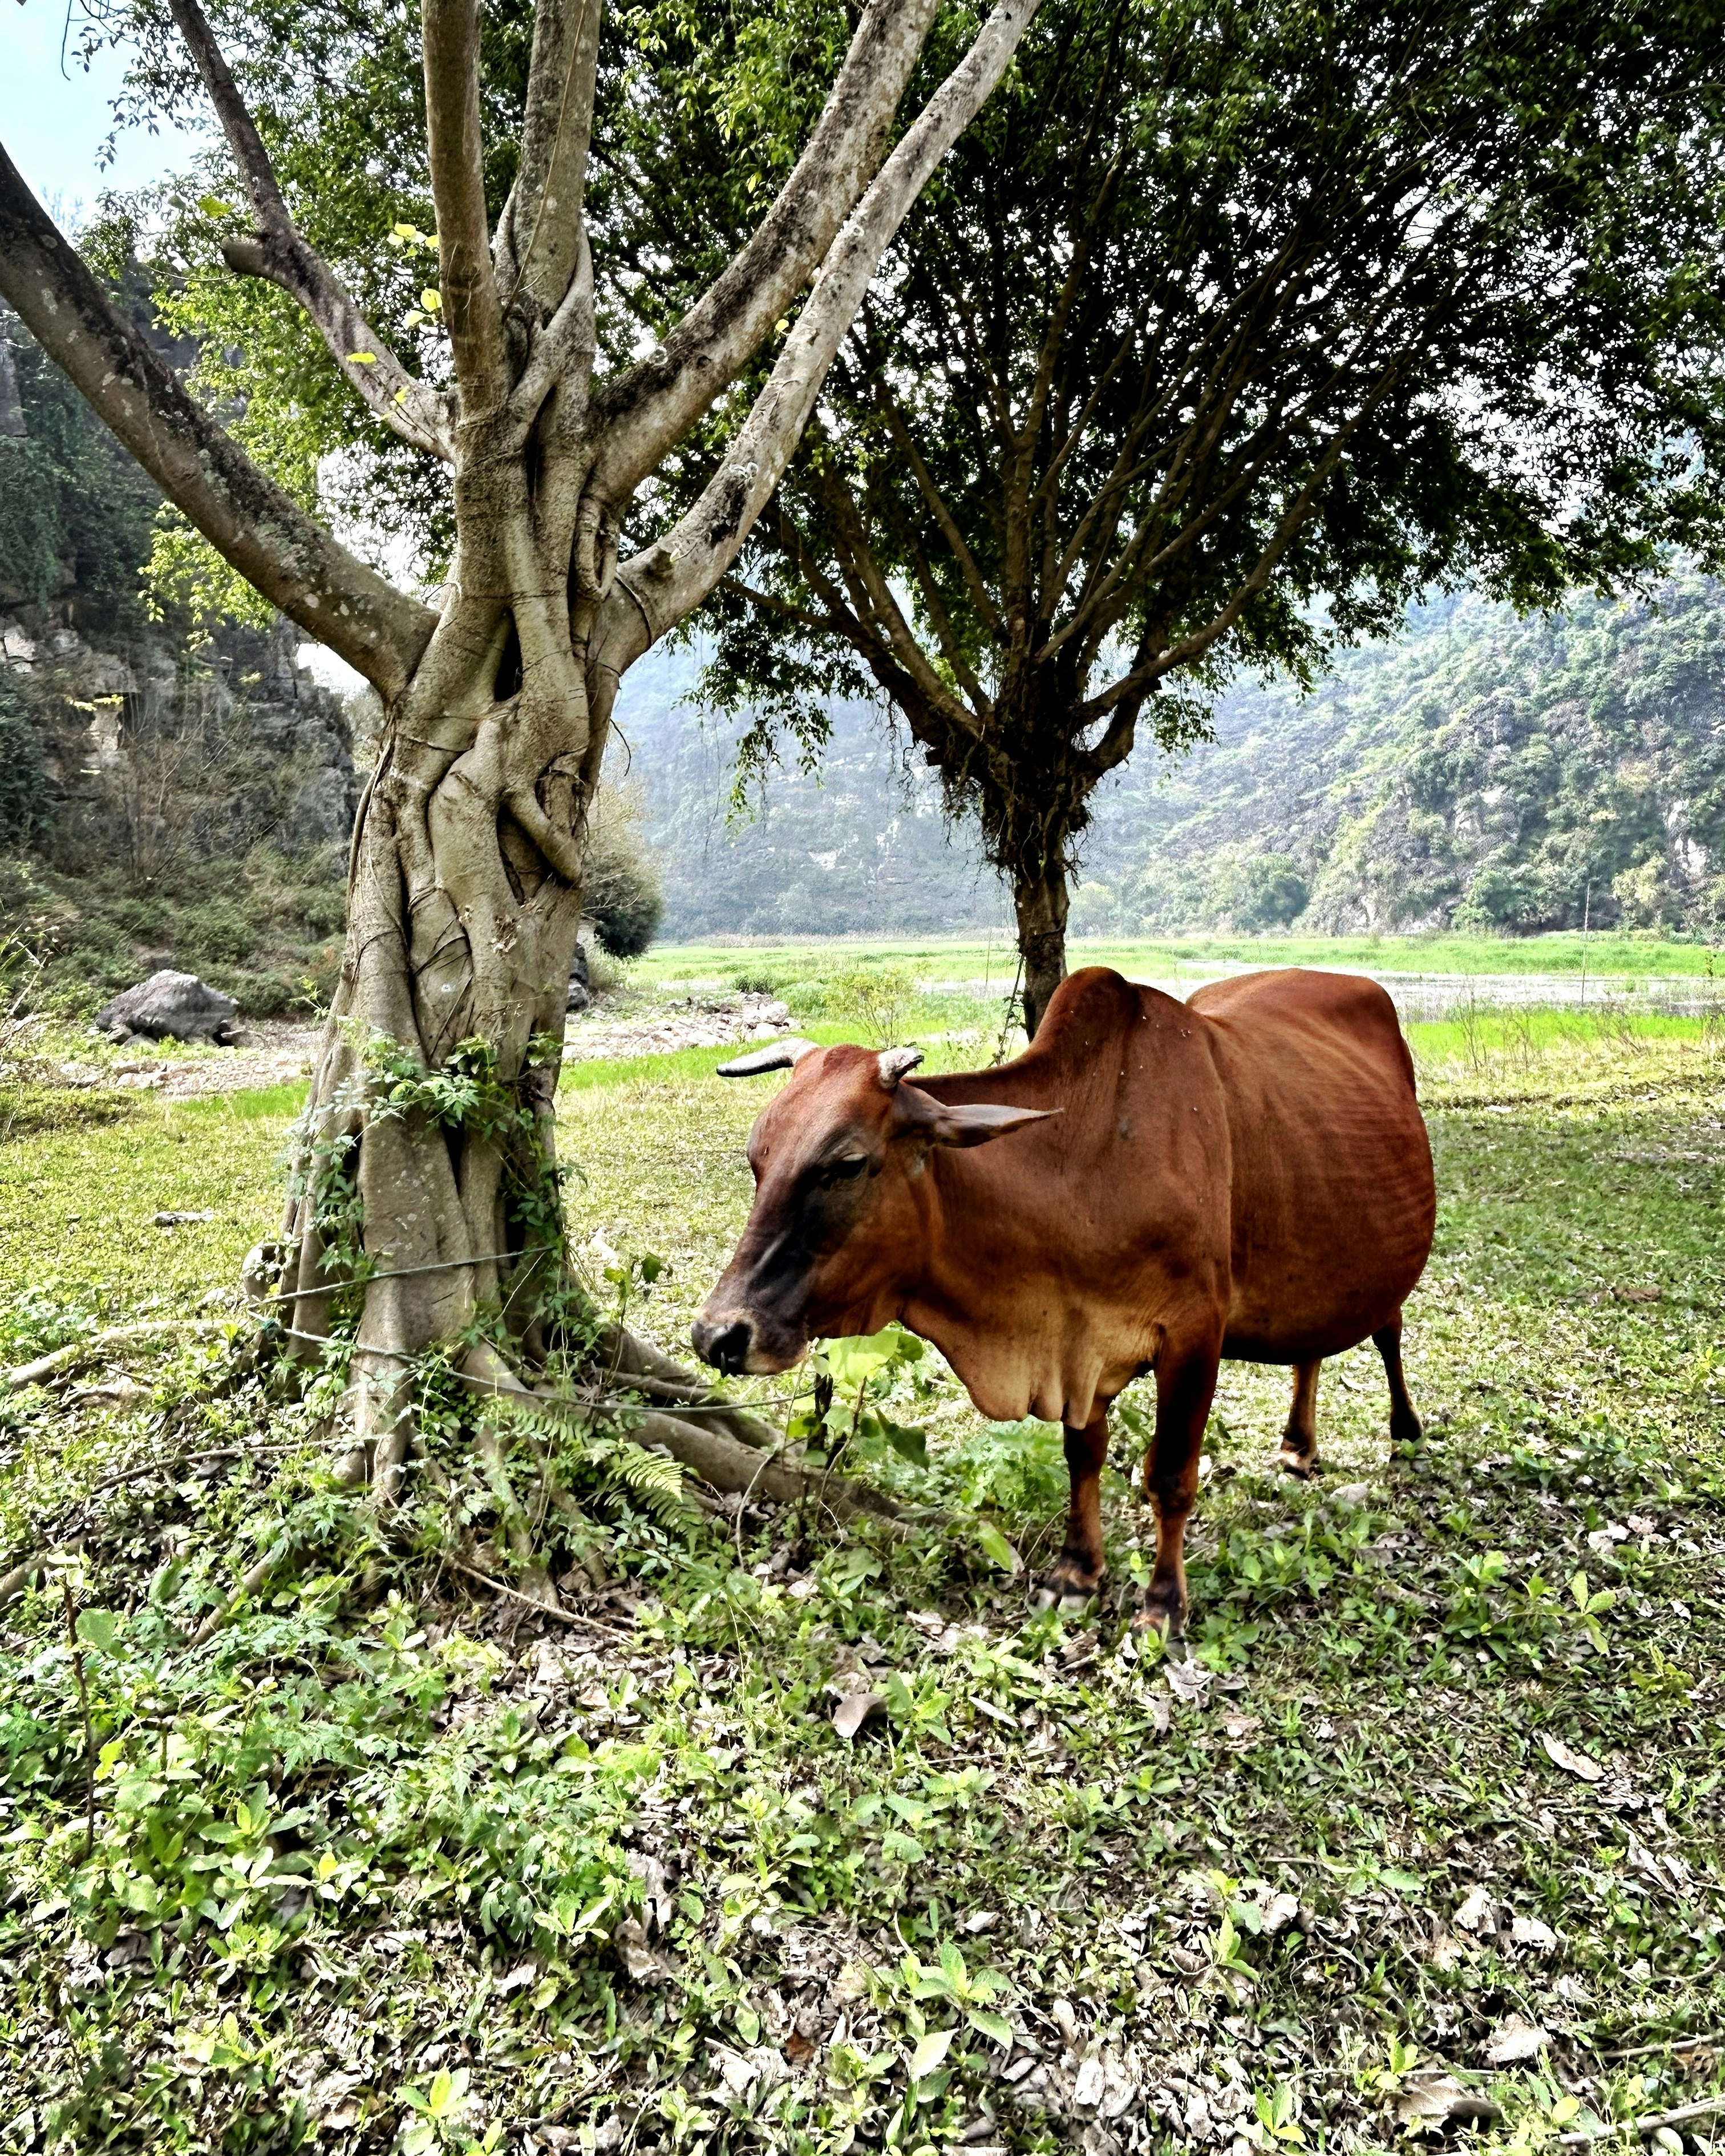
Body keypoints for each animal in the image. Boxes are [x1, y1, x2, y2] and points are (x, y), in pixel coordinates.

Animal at [693, 967, 1436, 1632]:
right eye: (758, 1158)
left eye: (846, 1164)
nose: (718, 1335)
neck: (1086, 1165)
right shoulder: (1079, 1341)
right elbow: (1084, 1456)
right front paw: (1077, 1572)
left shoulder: (1195, 1333)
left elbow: (1170, 1474)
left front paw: (1163, 1605)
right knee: (1312, 1347)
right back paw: (1298, 1446)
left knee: (1388, 1330)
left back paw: (1405, 1431)